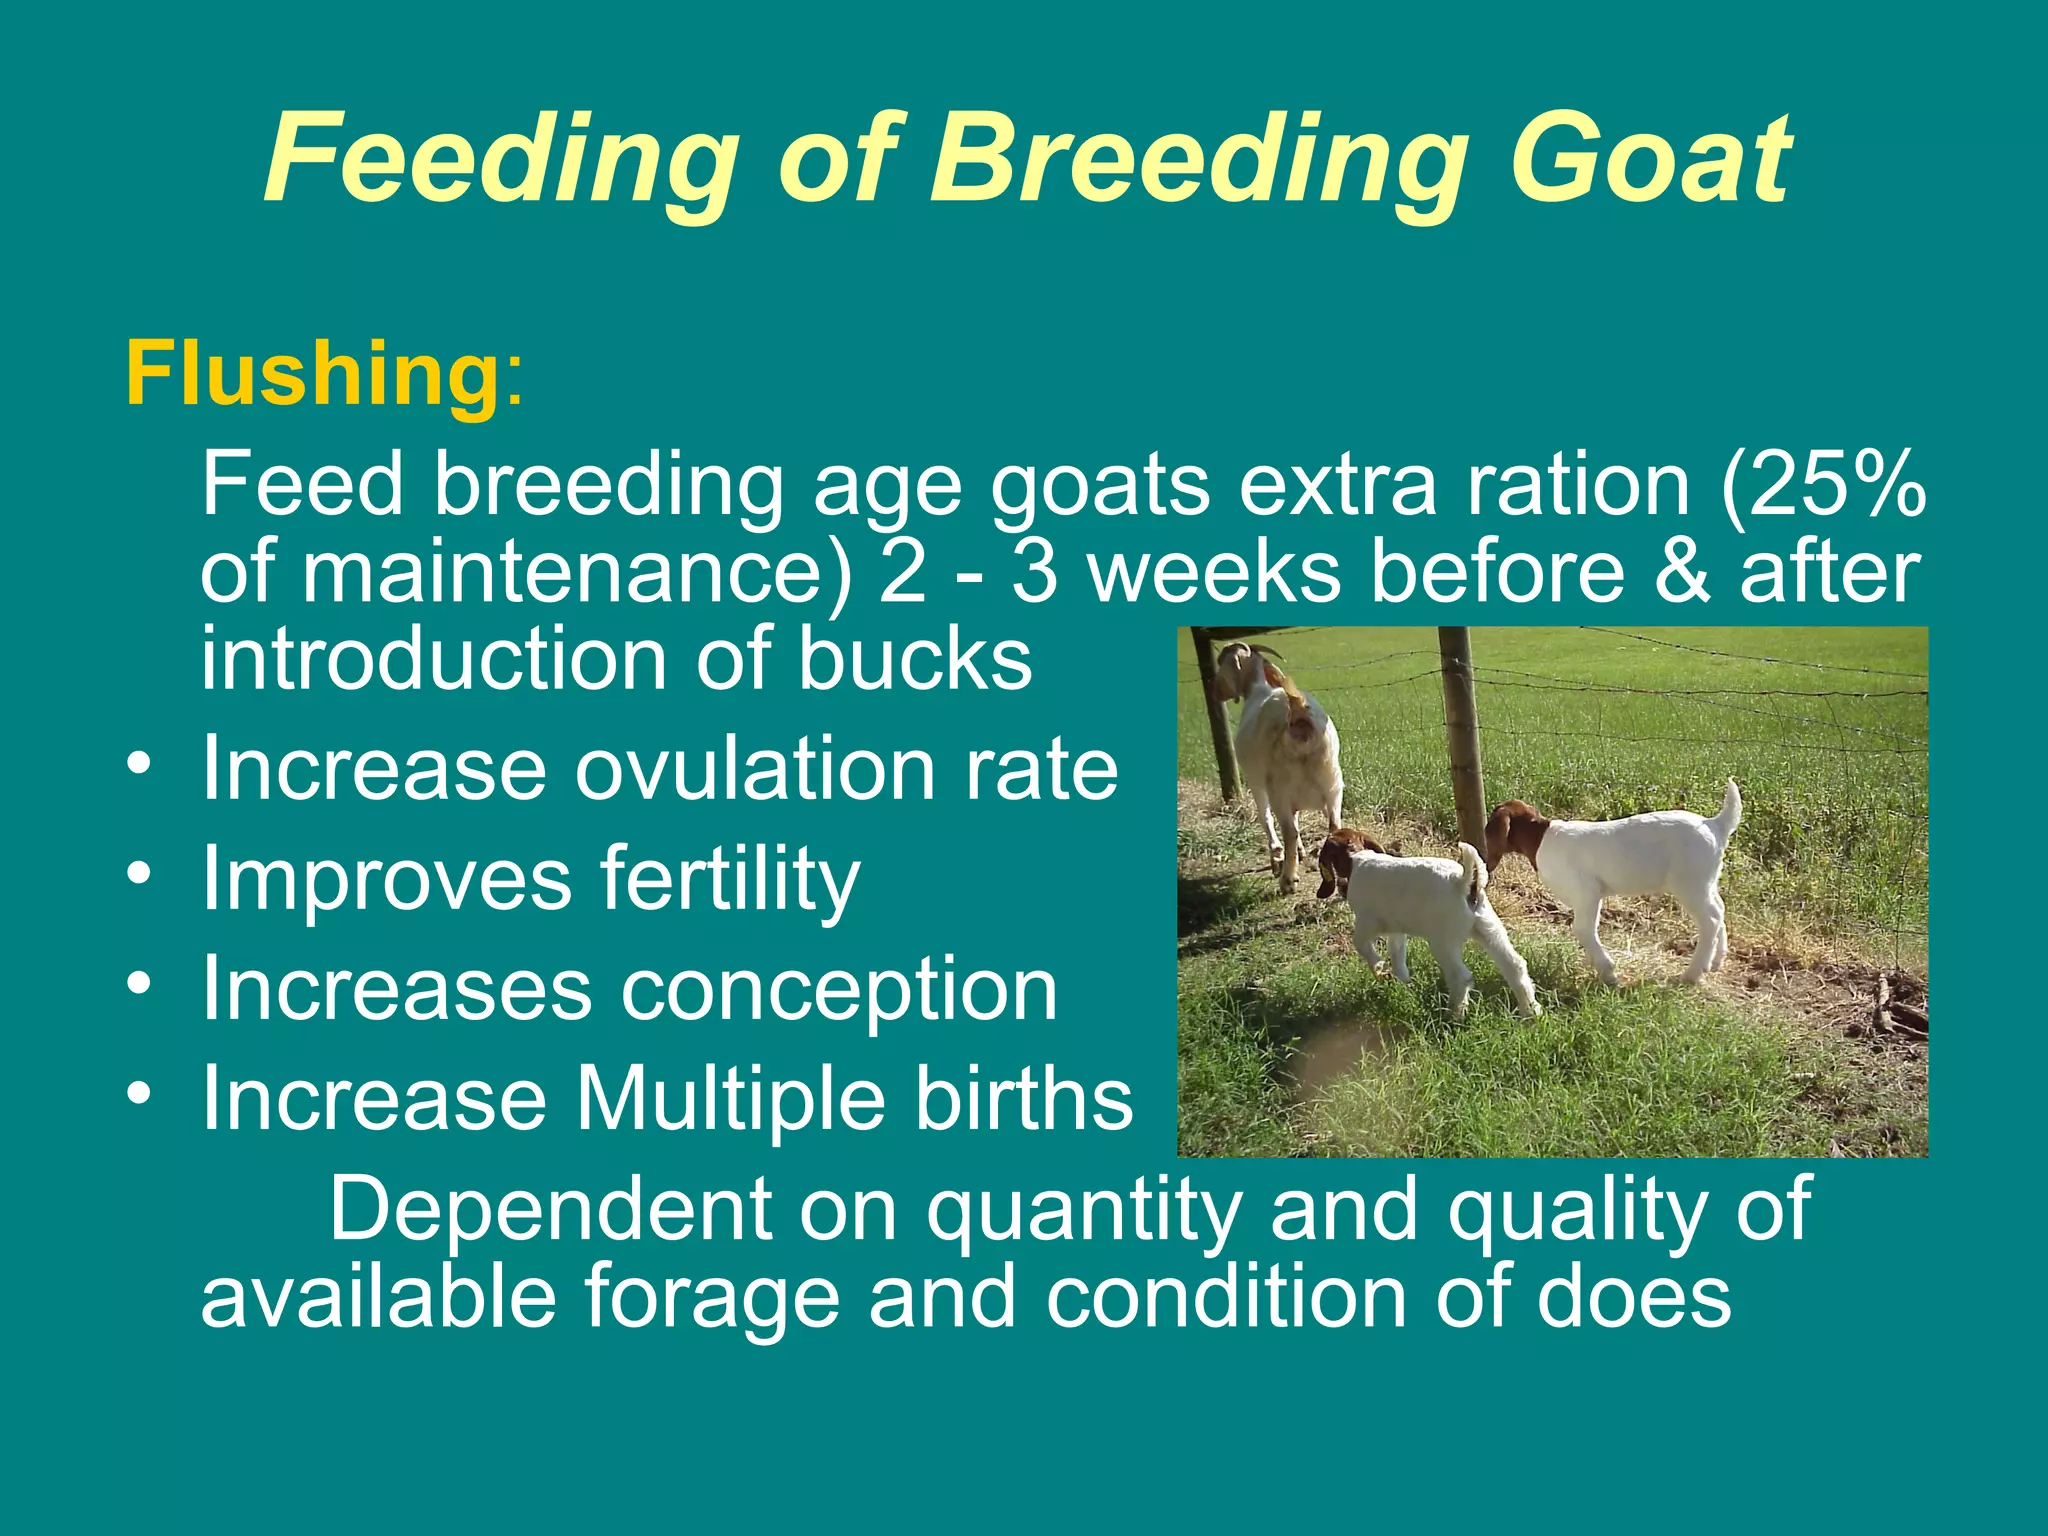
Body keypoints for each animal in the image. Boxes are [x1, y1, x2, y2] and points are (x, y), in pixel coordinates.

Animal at [1210, 642, 1342, 893]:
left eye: (1222, 663)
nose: (1217, 692)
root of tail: (1297, 709)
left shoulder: (1256, 780)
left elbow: (1265, 818)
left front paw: (1276, 856)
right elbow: (1296, 818)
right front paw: (1299, 851)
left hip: (1279, 787)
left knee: (1289, 831)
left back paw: (1288, 880)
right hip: (1333, 784)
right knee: (1334, 826)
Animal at [1316, 831, 1541, 1020]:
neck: (1358, 858)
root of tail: (1463, 883)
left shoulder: (1367, 921)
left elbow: (1361, 945)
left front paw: (1379, 968)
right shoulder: (1396, 930)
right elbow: (1397, 955)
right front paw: (1403, 983)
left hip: (1443, 941)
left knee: (1461, 978)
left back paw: (1454, 1016)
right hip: (1489, 929)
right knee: (1515, 966)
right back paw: (1530, 1012)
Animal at [1483, 780, 1743, 986]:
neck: (1541, 839)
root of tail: (1715, 824)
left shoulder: (1586, 892)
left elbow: (1583, 929)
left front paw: (1608, 973)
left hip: (1690, 883)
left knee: (1710, 919)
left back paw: (1694, 973)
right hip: (1706, 880)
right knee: (1719, 910)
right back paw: (1716, 960)